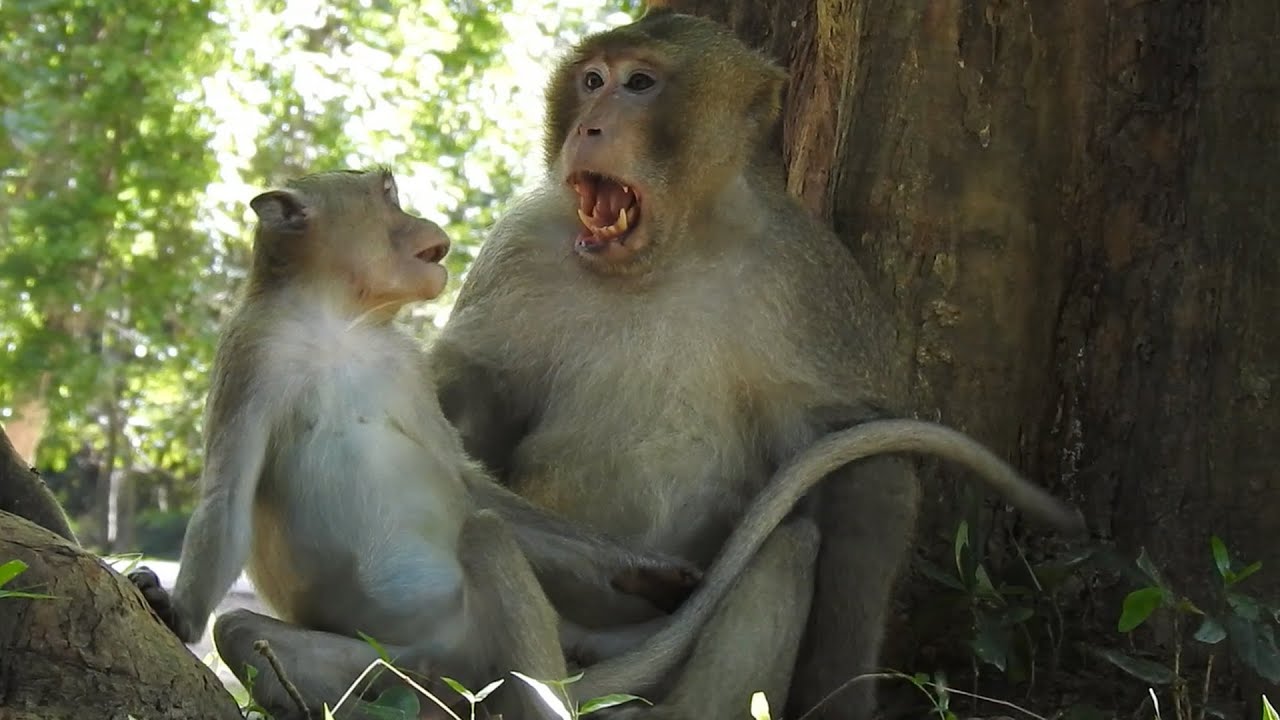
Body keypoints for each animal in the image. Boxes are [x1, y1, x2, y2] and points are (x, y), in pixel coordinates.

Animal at [126, 168, 704, 720]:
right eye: (389, 196)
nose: (422, 222)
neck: (339, 325)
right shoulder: (251, 353)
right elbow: (227, 499)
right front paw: (178, 614)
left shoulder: (406, 366)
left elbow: (469, 485)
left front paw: (642, 571)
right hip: (385, 661)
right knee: (242, 631)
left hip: (472, 648)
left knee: (487, 535)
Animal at [428, 9, 1085, 720]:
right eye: (592, 81)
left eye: (639, 84)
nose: (587, 127)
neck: (667, 255)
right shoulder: (519, 250)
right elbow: (477, 387)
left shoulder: (805, 277)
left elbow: (860, 452)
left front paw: (841, 695)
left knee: (789, 548)